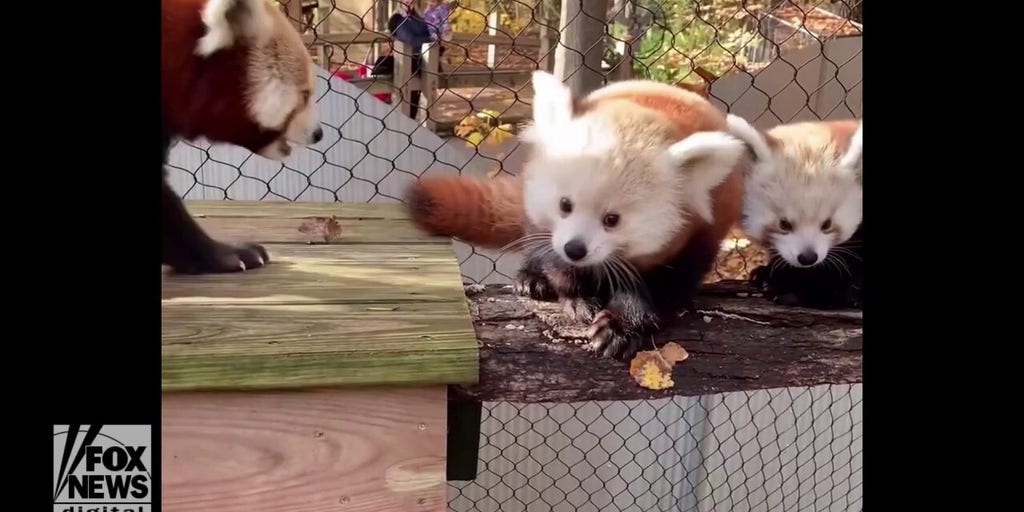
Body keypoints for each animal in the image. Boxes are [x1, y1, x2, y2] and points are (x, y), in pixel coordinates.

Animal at [407, 71, 749, 360]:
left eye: (612, 219)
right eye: (565, 205)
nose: (575, 249)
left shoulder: (701, 232)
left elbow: (666, 286)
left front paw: (620, 326)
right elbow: (554, 258)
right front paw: (578, 297)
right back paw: (531, 279)